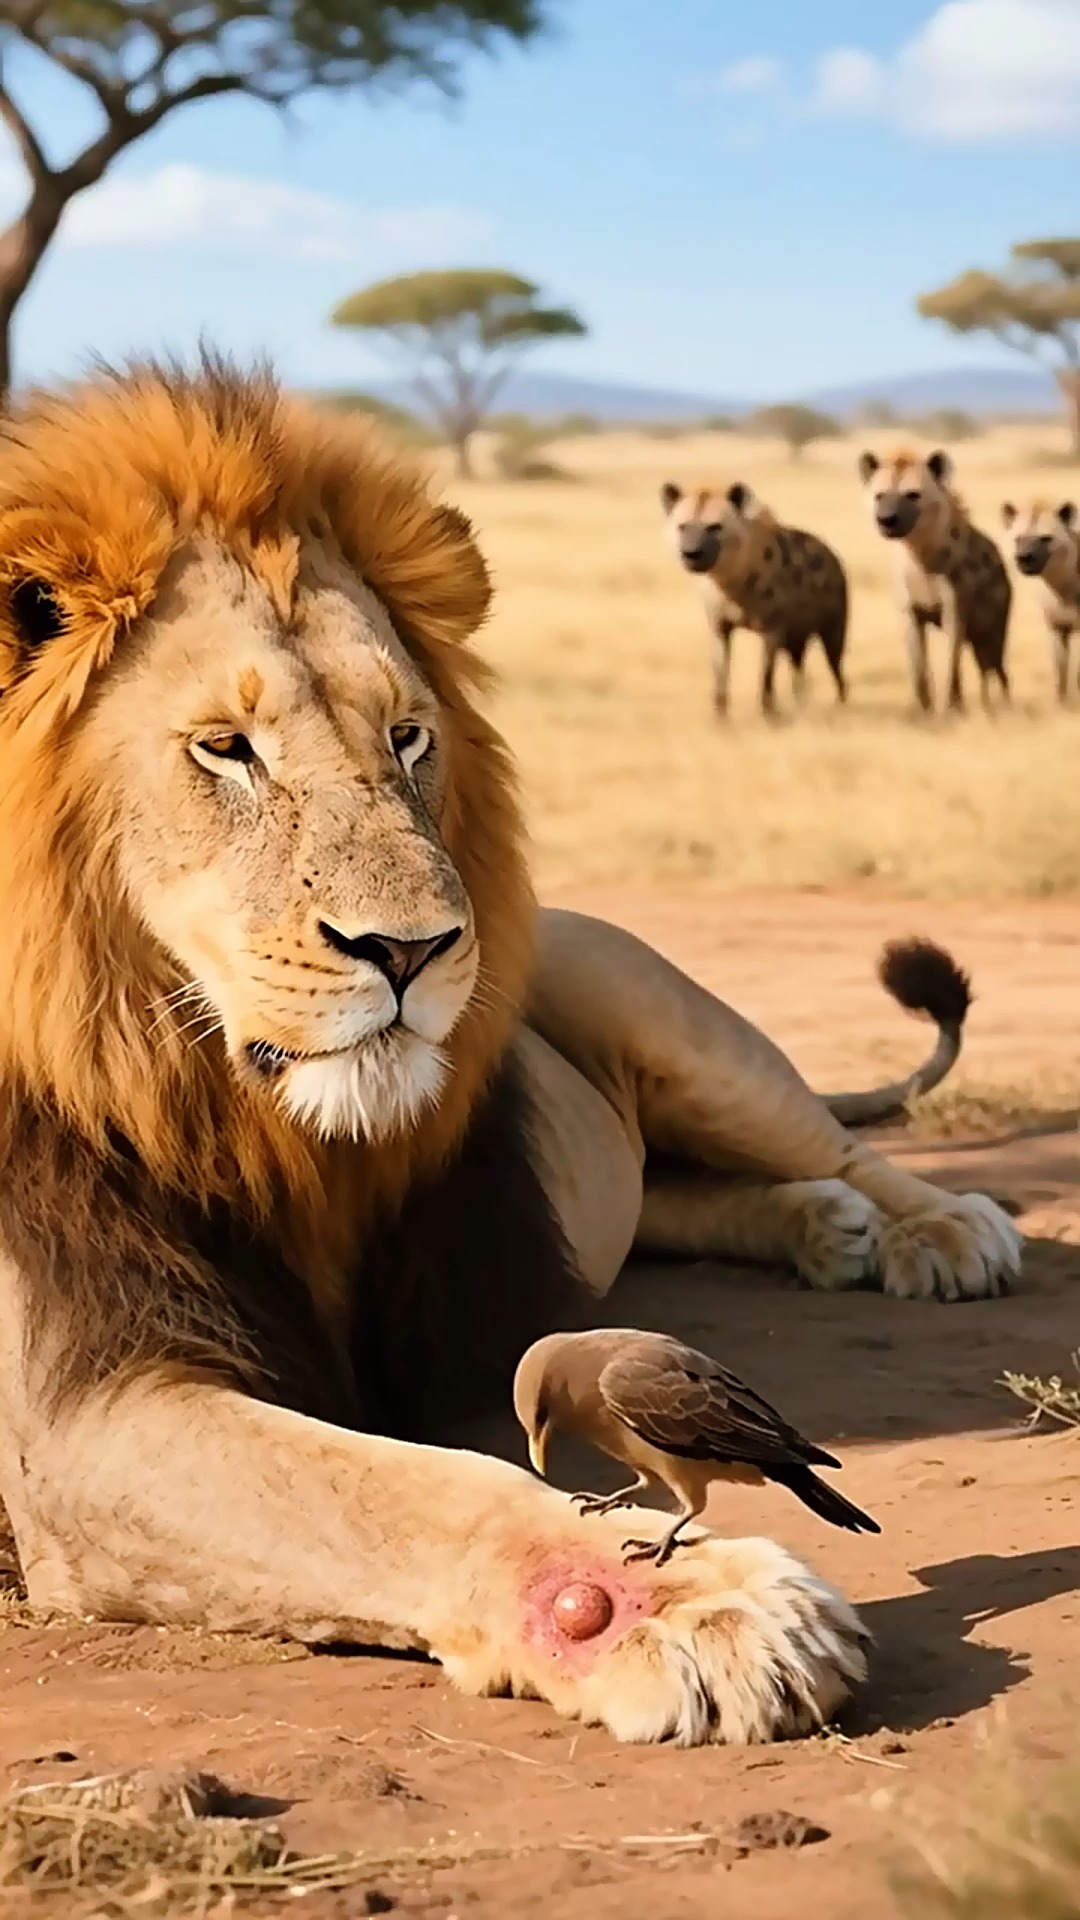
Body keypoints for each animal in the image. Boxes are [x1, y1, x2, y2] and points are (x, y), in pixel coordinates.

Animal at [0, 357, 1020, 1749]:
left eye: (408, 738)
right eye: (226, 748)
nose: (416, 950)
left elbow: (417, 1480)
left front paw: (684, 1600)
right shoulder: (82, 1414)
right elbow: (399, 1489)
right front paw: (687, 1603)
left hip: (657, 1008)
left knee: (837, 1144)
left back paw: (937, 1229)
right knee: (678, 1200)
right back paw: (821, 1229)